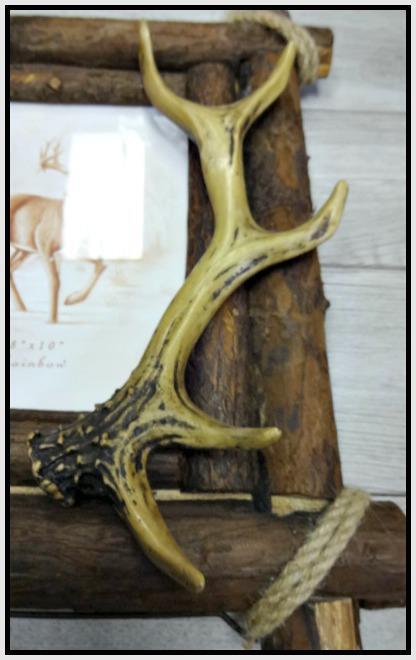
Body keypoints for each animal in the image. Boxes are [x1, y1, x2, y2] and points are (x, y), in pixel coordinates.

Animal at [10, 139, 106, 323]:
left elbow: (100, 264)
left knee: (10, 267)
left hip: (23, 249)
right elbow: (55, 280)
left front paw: (70, 300)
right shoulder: (43, 243)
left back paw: (22, 308)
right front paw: (52, 321)